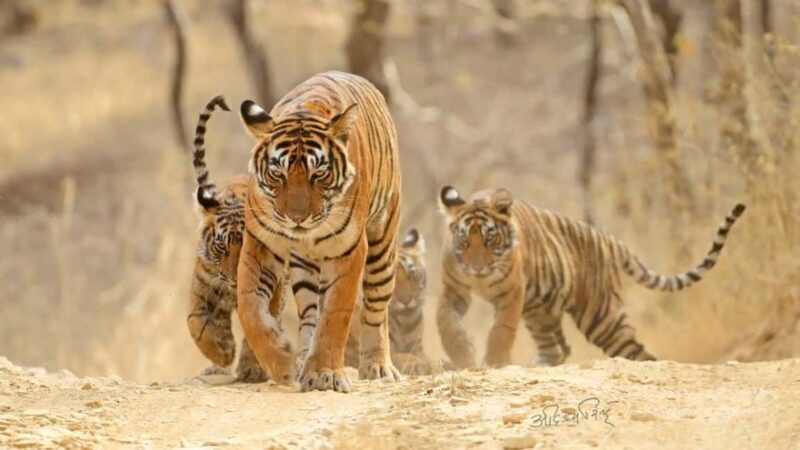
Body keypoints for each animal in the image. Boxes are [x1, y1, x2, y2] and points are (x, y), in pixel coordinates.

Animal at [185, 95, 267, 383]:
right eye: (221, 247)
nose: (234, 278)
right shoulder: (202, 286)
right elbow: (196, 321)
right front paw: (222, 353)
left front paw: (251, 369)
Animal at [236, 71, 402, 392]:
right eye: (278, 174)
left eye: (319, 174)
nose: (297, 218)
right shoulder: (261, 243)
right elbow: (249, 306)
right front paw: (282, 363)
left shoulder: (351, 248)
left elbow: (336, 314)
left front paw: (326, 373)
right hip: (304, 269)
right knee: (310, 315)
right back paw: (302, 360)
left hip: (383, 246)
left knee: (376, 309)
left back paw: (378, 366)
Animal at [345, 229, 433, 375]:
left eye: (412, 274)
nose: (407, 300)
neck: (404, 322)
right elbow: (400, 357)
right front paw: (421, 364)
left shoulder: (417, 346)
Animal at [436, 185, 745, 368]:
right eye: (464, 241)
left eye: (490, 240)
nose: (477, 268)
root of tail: (608, 240)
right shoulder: (453, 289)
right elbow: (446, 323)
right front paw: (462, 354)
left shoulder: (511, 293)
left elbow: (502, 330)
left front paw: (493, 362)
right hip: (540, 313)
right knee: (558, 349)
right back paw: (540, 365)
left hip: (600, 317)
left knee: (638, 352)